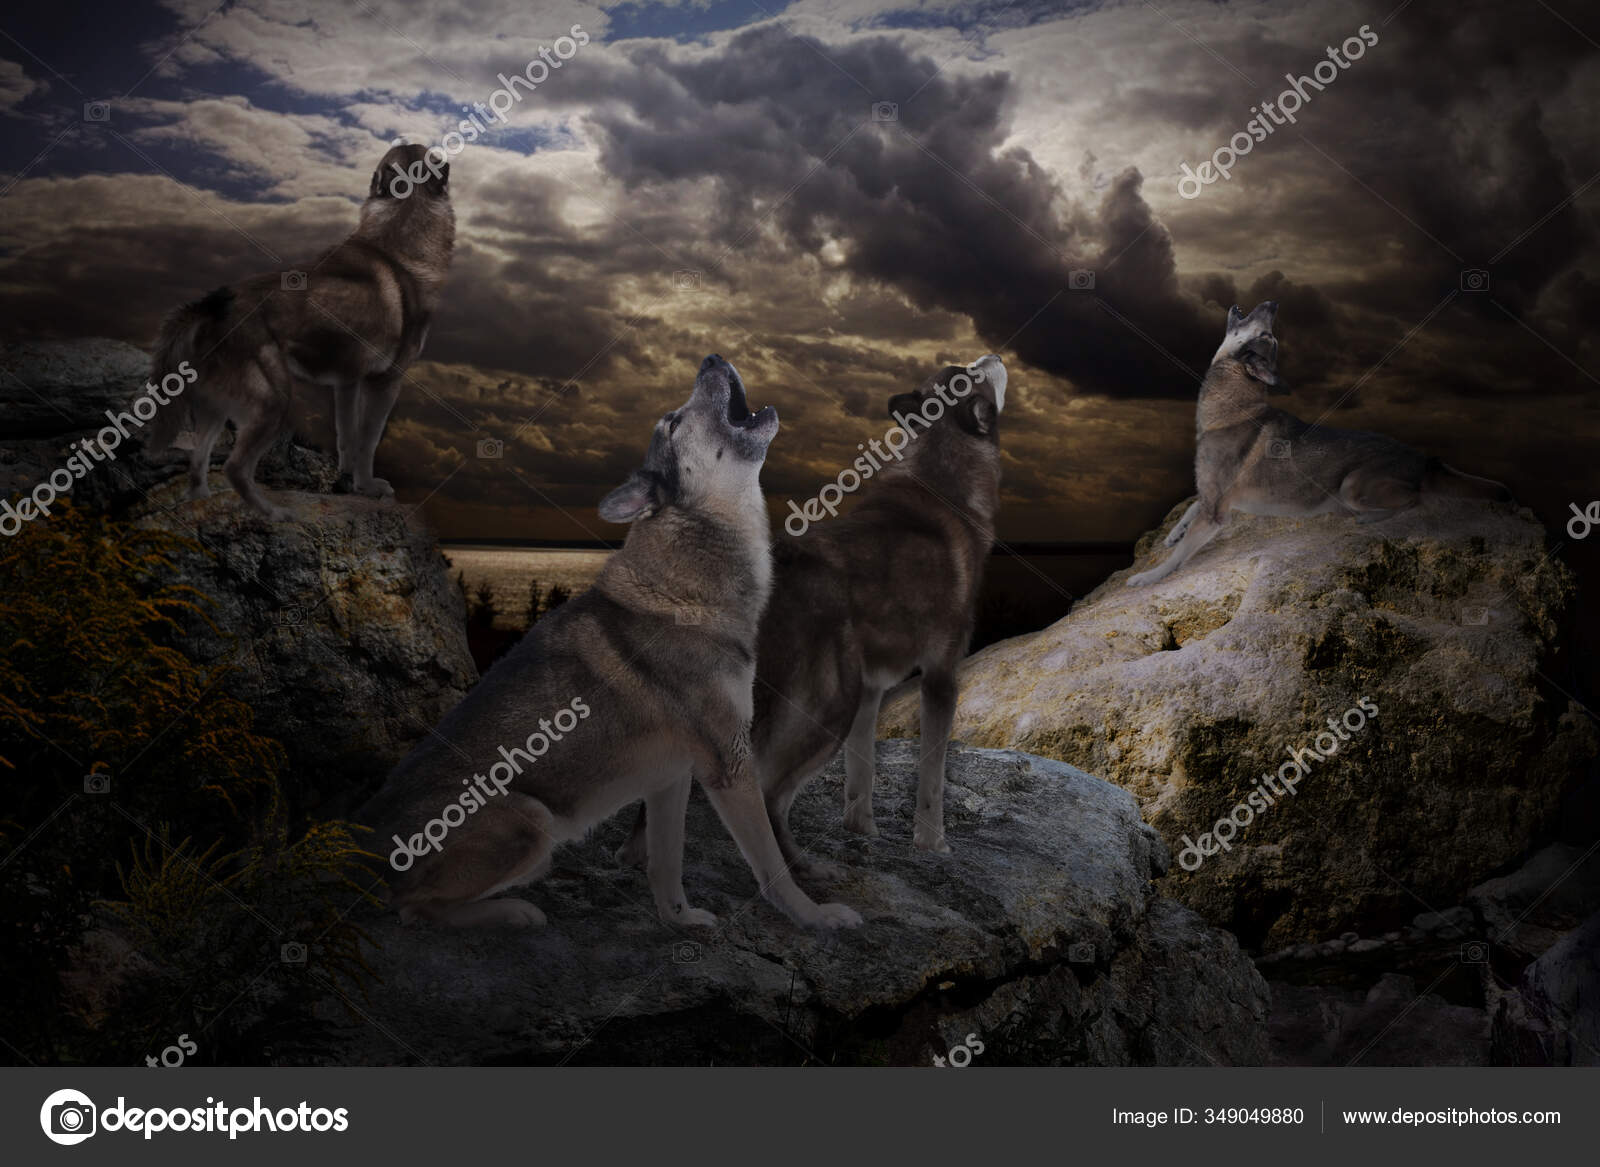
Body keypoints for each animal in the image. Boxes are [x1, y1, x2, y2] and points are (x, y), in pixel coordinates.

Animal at [143, 142, 455, 520]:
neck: (401, 229)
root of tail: (213, 303)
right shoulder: (384, 382)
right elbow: (367, 442)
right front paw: (367, 486)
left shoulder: (347, 383)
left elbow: (347, 439)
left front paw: (347, 482)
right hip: (273, 403)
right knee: (235, 467)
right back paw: (272, 513)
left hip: (215, 409)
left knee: (197, 463)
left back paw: (201, 501)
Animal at [359, 355, 862, 931]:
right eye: (672, 421)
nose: (710, 359)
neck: (688, 585)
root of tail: (361, 856)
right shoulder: (729, 766)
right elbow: (772, 865)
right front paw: (815, 917)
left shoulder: (671, 778)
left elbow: (665, 866)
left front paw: (679, 921)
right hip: (532, 822)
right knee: (412, 909)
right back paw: (514, 911)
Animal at [623, 354, 1006, 875]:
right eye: (972, 372)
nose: (994, 356)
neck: (940, 472)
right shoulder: (940, 677)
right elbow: (931, 777)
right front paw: (932, 844)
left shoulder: (873, 688)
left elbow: (861, 773)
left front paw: (862, 832)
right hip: (828, 706)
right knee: (770, 797)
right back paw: (803, 870)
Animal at [1127, 302, 1510, 587]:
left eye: (1267, 333)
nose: (1273, 303)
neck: (1233, 406)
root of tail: (1423, 458)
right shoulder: (1212, 496)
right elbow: (1191, 506)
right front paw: (1173, 533)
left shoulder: (1217, 511)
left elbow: (1180, 555)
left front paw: (1151, 576)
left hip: (1352, 486)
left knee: (1415, 500)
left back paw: (1367, 519)